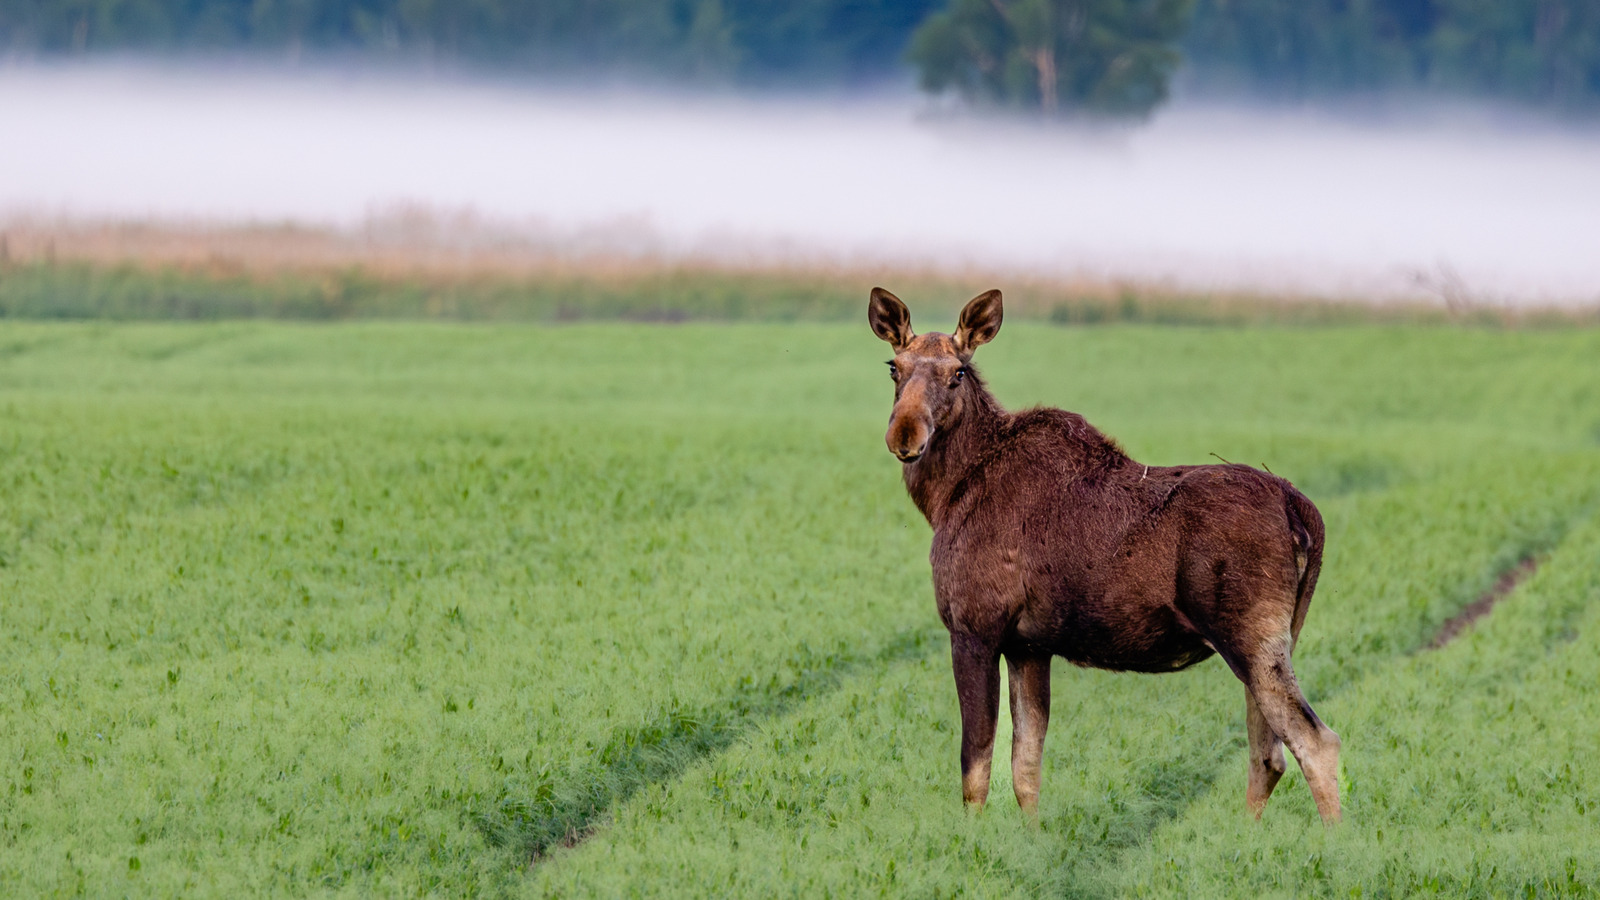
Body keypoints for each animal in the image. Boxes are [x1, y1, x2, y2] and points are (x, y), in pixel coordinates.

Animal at [868, 287, 1341, 823]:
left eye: (958, 372)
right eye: (894, 366)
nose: (905, 434)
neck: (944, 496)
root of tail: (1300, 509)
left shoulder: (973, 628)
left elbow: (975, 768)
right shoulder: (1029, 645)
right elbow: (1025, 766)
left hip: (1251, 637)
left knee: (1314, 742)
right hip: (1277, 638)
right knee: (1268, 755)